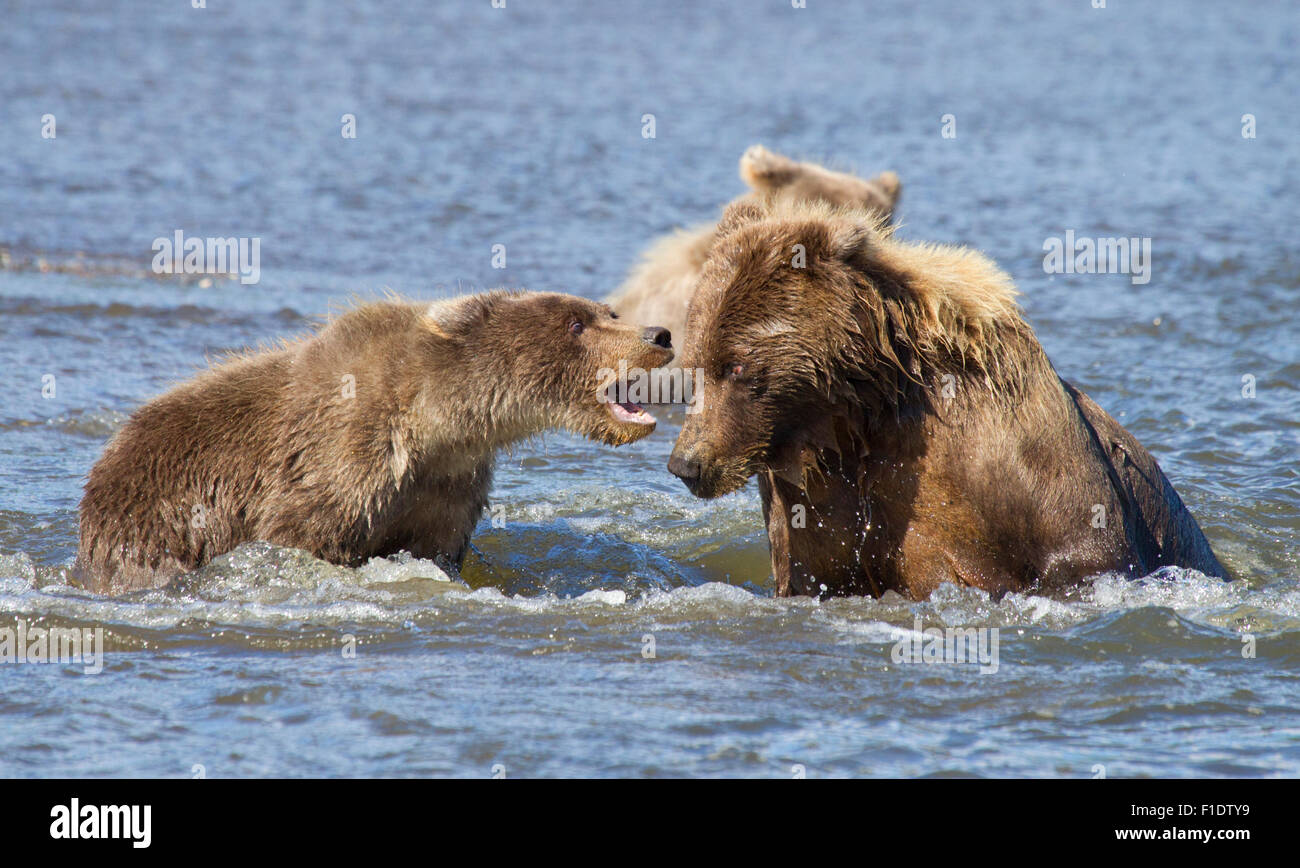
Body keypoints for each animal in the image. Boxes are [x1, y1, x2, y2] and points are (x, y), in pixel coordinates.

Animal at [76, 292, 674, 594]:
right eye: (576, 324)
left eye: (609, 312)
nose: (659, 334)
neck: (435, 420)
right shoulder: (341, 455)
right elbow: (300, 533)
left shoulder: (447, 483)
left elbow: (437, 547)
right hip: (158, 518)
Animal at [666, 196, 1226, 600]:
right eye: (694, 363)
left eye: (736, 366)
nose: (687, 463)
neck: (860, 413)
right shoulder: (814, 498)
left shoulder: (1008, 459)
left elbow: (1083, 555)